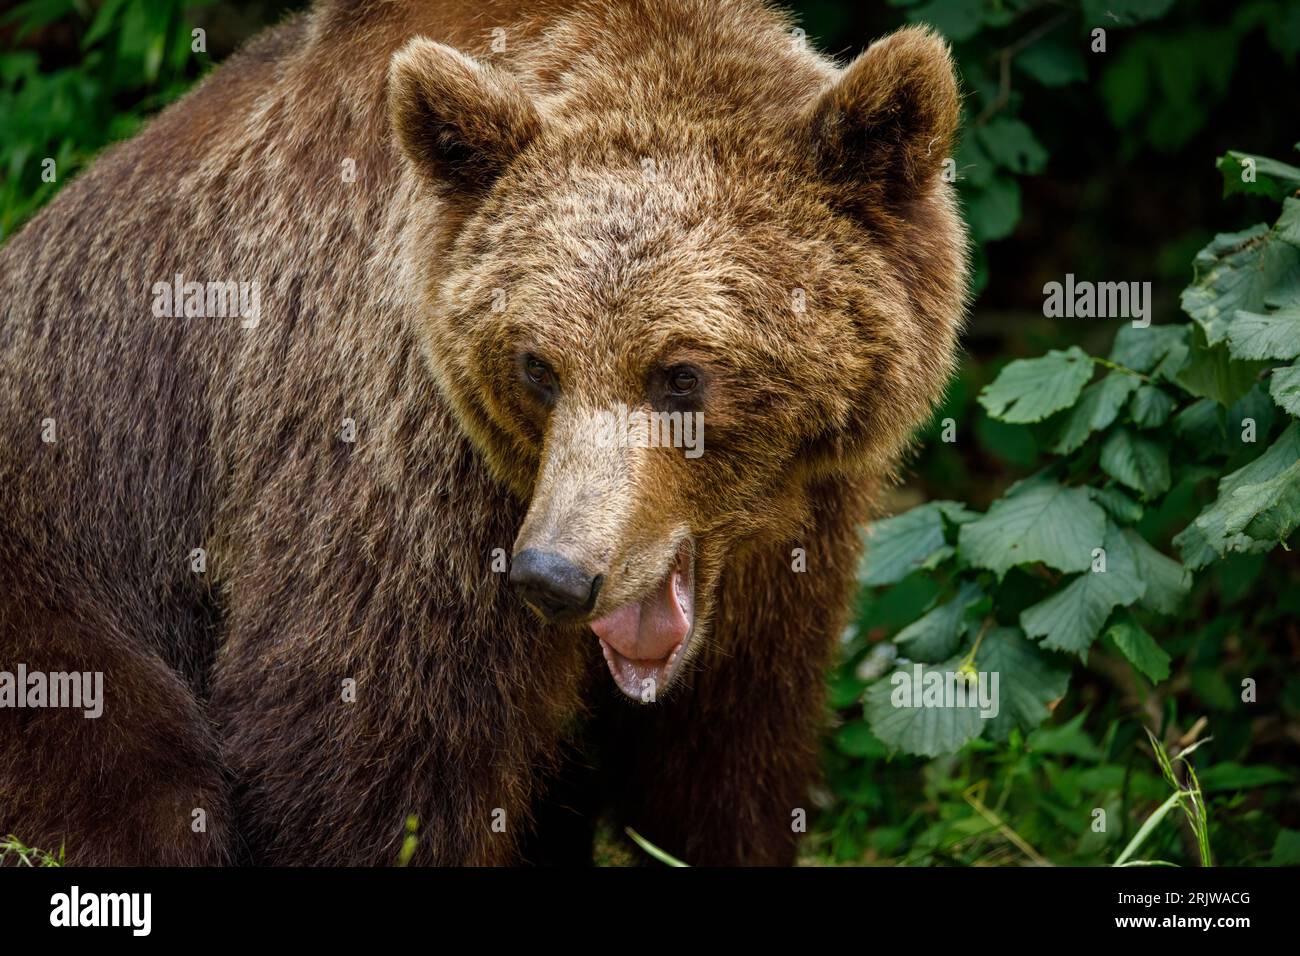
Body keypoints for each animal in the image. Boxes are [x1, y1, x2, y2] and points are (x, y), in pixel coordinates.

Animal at [0, 0, 966, 866]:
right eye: (538, 365)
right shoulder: (407, 456)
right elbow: (371, 746)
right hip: (61, 575)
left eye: (681, 373)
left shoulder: (796, 540)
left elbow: (730, 749)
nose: (556, 574)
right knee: (136, 778)